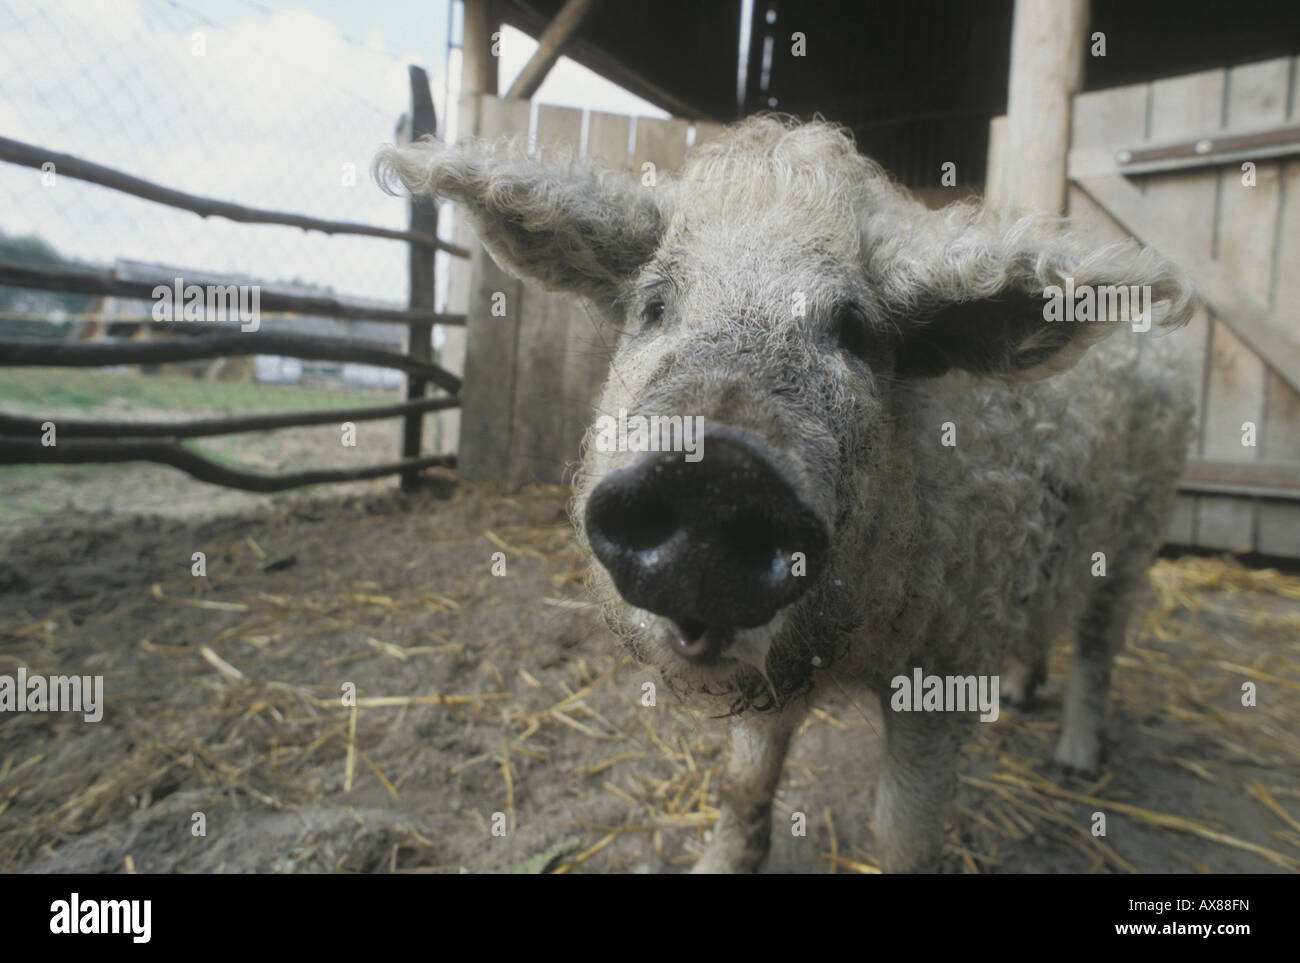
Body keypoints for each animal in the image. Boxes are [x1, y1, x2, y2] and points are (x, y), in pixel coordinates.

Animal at [374, 116, 1195, 873]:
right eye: (654, 306)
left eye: (854, 330)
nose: (710, 477)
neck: (852, 638)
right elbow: (744, 781)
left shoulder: (950, 651)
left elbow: (902, 835)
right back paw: (1021, 698)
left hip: (1139, 528)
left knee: (1099, 643)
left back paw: (1076, 762)